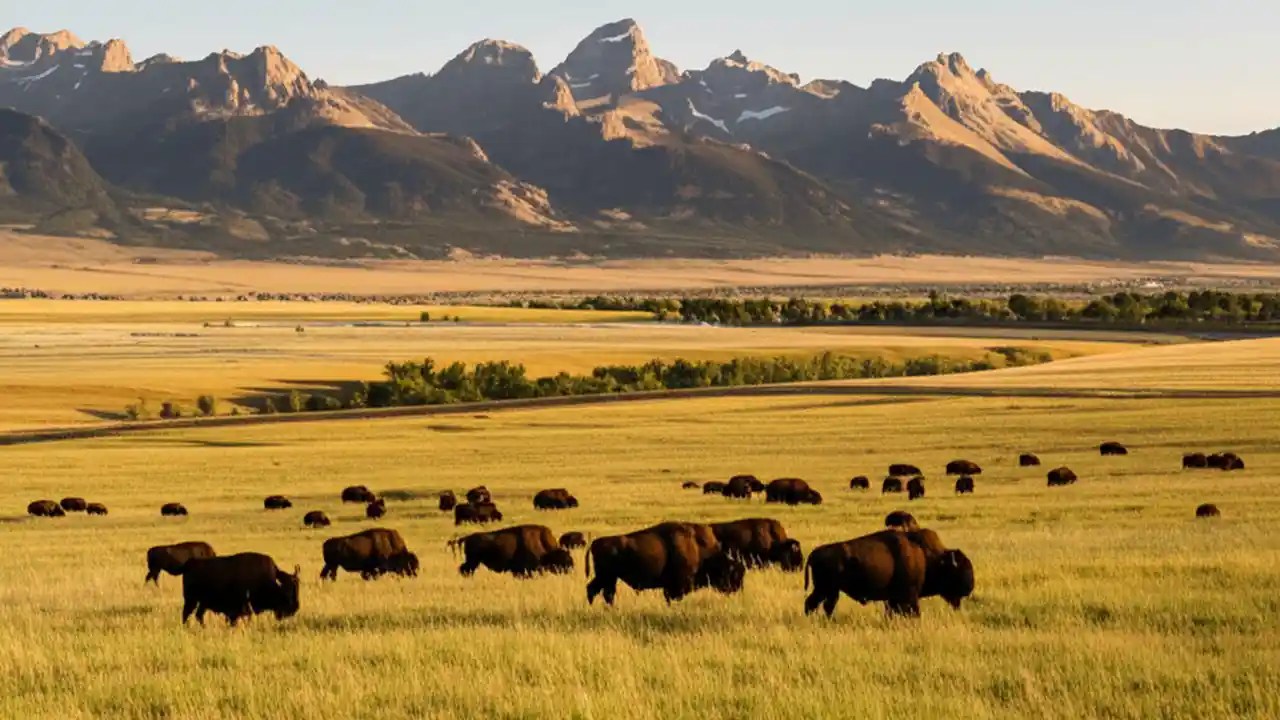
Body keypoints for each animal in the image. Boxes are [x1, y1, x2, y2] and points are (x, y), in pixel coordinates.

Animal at [586, 522, 745, 606]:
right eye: (734, 575)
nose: (737, 590)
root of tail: (595, 542)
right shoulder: (676, 586)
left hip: (607, 578)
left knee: (596, 590)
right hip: (607, 577)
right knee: (603, 592)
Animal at [804, 529, 974, 617]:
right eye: (958, 571)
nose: (969, 588)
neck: (927, 556)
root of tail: (814, 553)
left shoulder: (893, 599)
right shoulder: (909, 596)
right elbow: (913, 611)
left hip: (830, 590)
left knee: (823, 605)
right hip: (825, 588)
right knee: (814, 604)